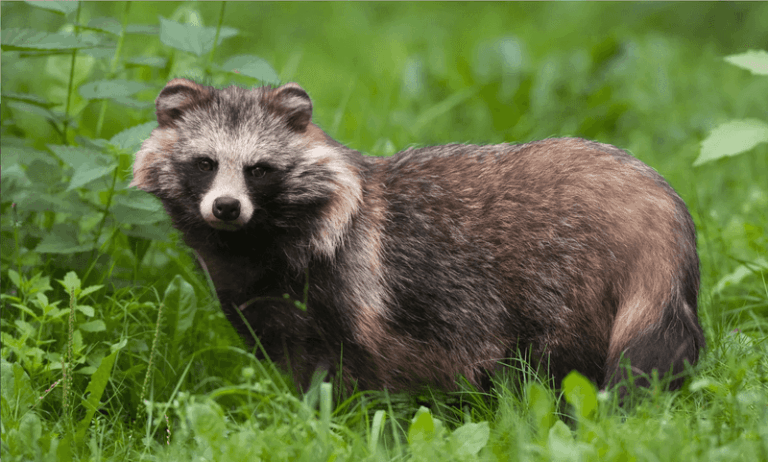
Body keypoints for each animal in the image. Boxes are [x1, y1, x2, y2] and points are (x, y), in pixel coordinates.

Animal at [132, 78, 705, 394]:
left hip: (566, 278)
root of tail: (657, 203)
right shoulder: (259, 300)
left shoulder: (345, 284)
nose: (226, 207)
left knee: (568, 365)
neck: (254, 244)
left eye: (258, 169)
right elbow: (293, 363)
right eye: (205, 163)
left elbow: (348, 374)